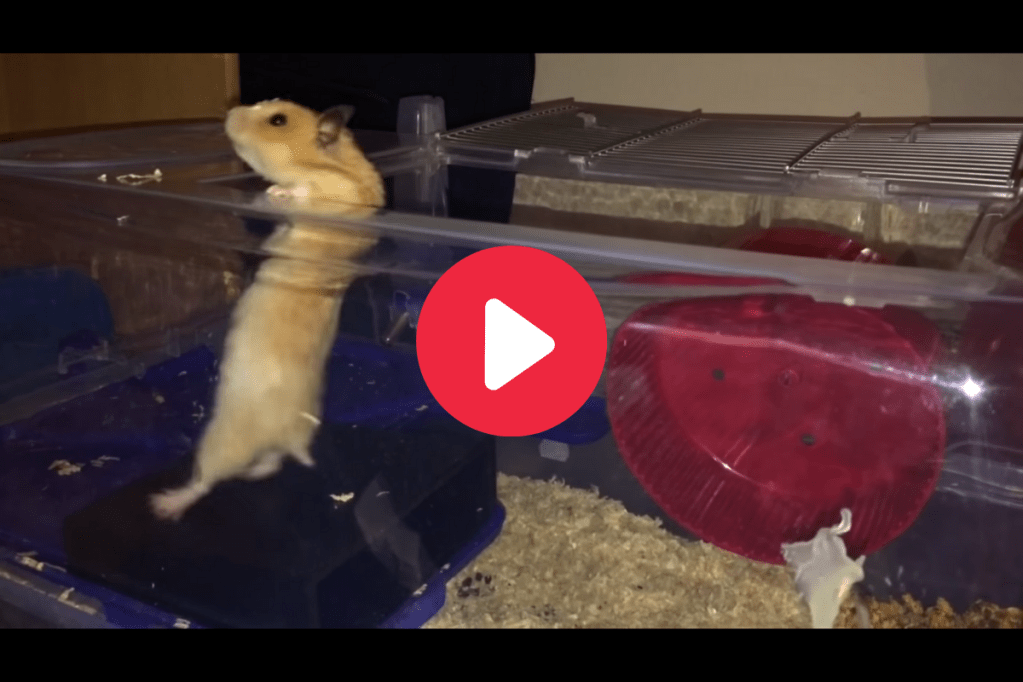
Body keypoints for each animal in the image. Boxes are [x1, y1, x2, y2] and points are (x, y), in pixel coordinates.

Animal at [149, 100, 385, 522]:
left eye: (278, 120)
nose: (229, 115)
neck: (331, 161)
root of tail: (290, 436)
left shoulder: (333, 196)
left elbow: (303, 193)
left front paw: (277, 190)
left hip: (223, 438)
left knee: (208, 479)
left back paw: (164, 503)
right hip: (279, 441)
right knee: (273, 462)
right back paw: (253, 473)